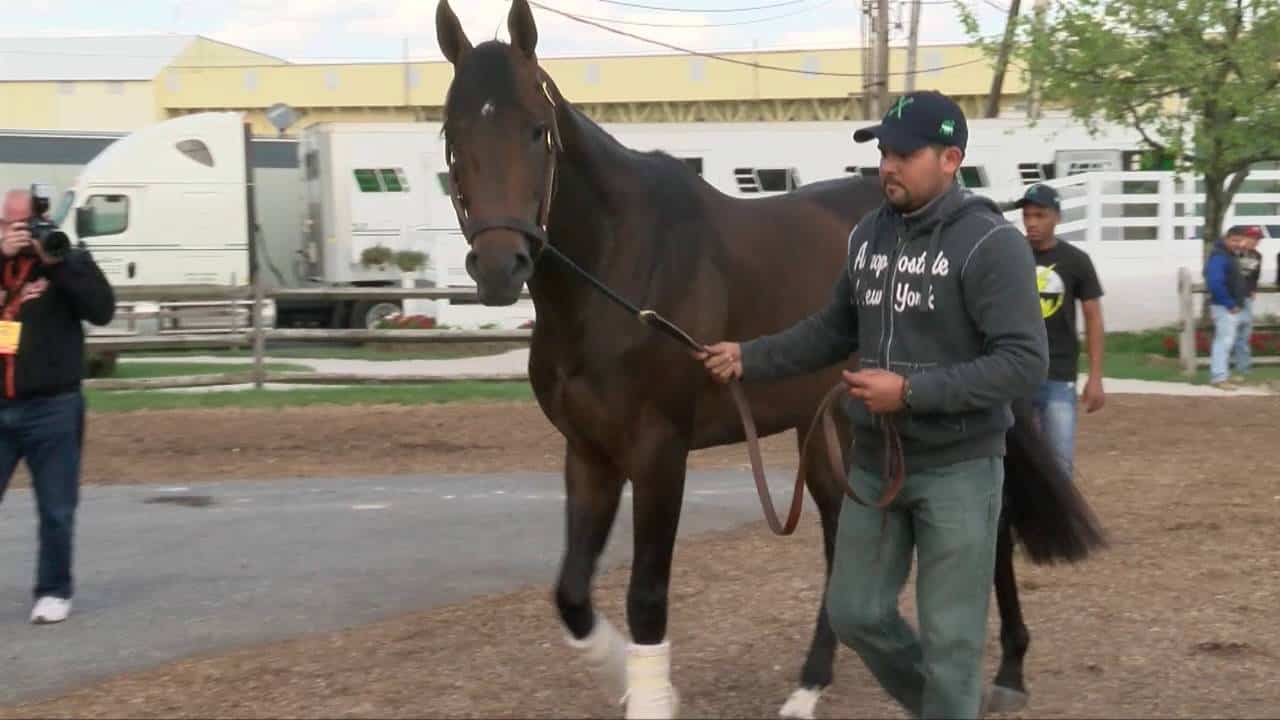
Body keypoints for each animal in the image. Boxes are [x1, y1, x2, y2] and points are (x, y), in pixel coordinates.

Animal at [433, 1, 1107, 717]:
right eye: (452, 136)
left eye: (537, 131)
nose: (500, 266)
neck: (622, 272)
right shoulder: (589, 453)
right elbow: (571, 594)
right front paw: (627, 680)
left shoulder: (659, 452)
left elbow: (646, 595)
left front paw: (652, 694)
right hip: (831, 425)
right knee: (842, 534)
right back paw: (812, 684)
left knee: (992, 526)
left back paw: (1008, 668)